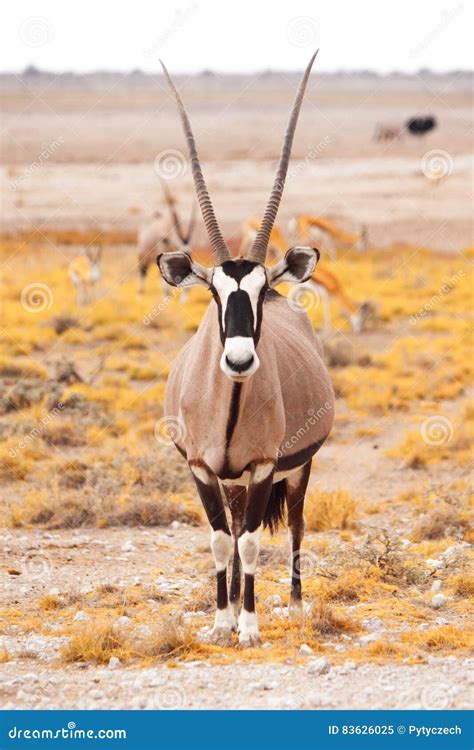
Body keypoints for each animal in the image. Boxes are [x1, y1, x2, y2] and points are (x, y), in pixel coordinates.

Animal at [156, 52, 334, 646]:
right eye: (214, 291)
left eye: (257, 290)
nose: (238, 360)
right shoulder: (201, 468)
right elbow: (220, 539)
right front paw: (221, 620)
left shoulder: (261, 467)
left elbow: (255, 540)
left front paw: (250, 627)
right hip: (232, 480)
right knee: (232, 531)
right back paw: (232, 604)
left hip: (298, 468)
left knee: (295, 523)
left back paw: (296, 606)